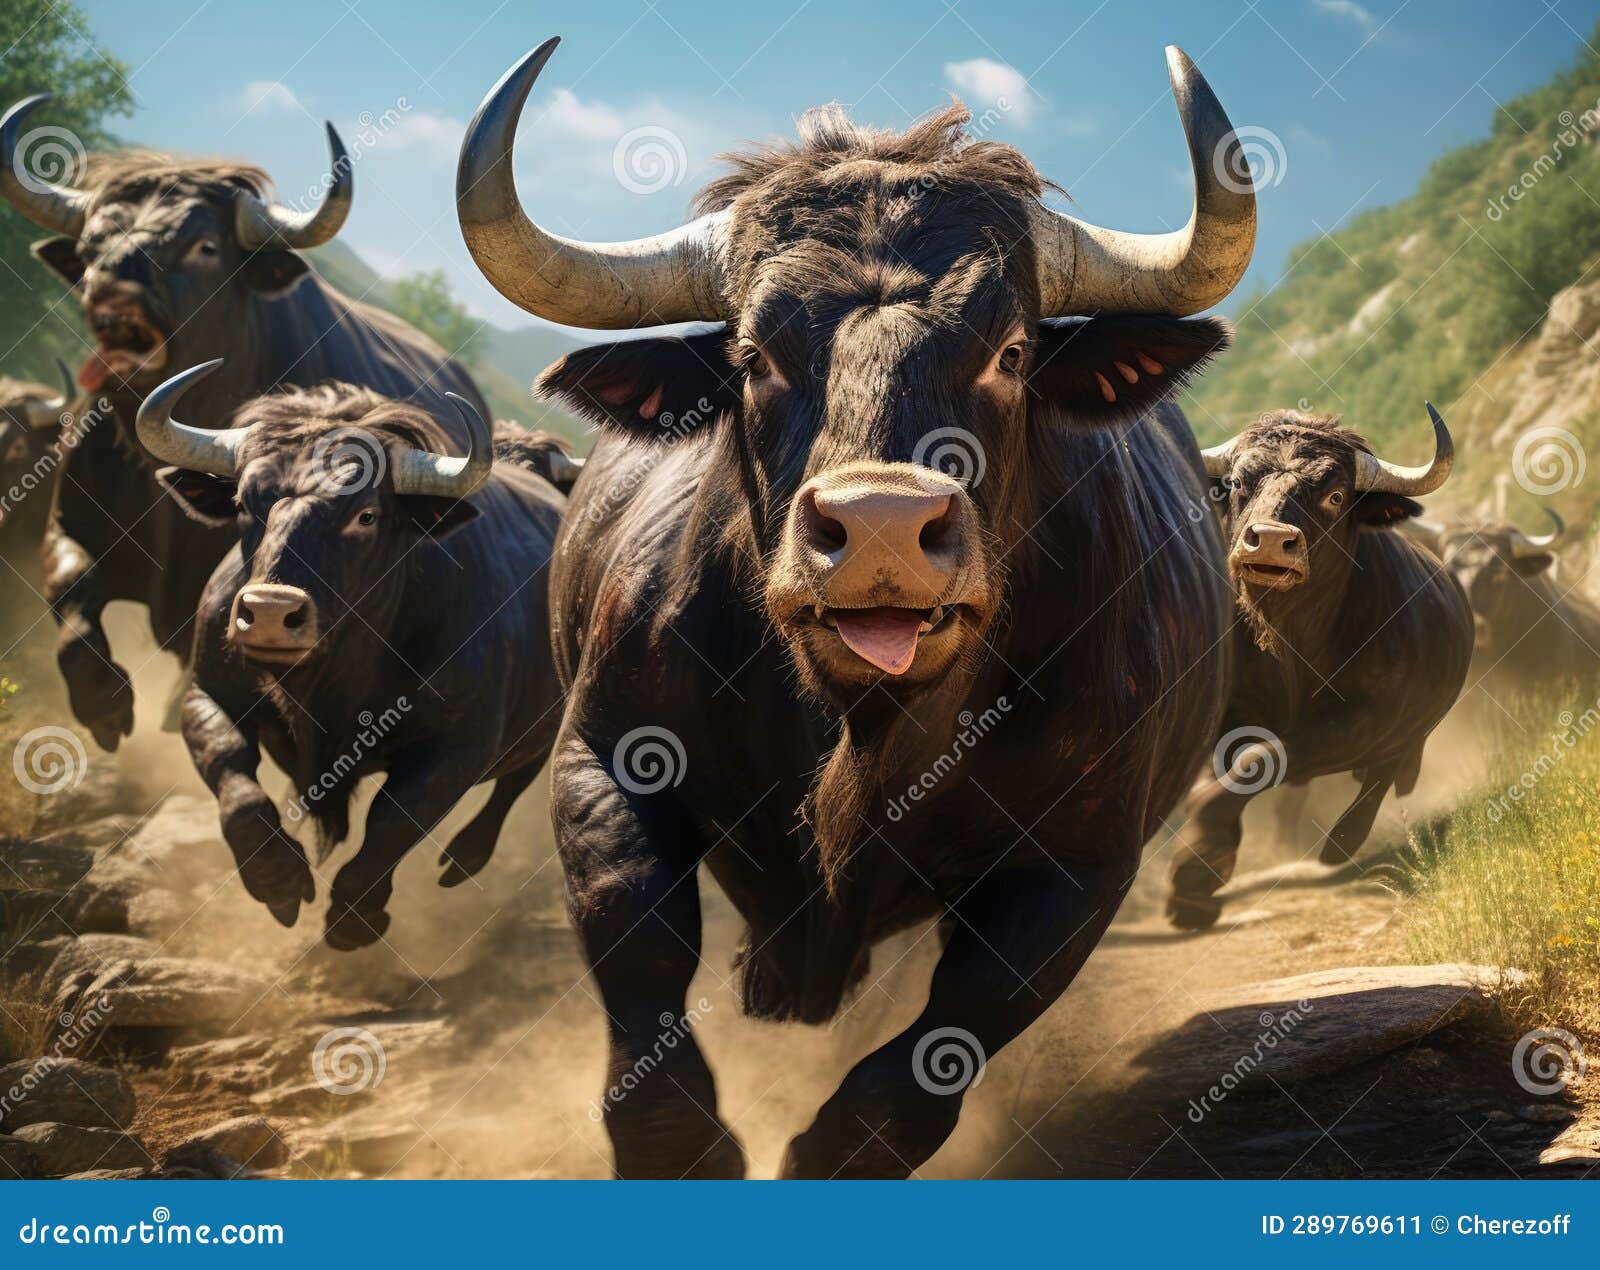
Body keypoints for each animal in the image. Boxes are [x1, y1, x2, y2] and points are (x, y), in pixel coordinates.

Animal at [0, 97, 486, 753]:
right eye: (92, 243)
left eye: (204, 246)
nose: (110, 291)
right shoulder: (69, 522)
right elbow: (71, 590)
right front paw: (104, 707)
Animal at [135, 363, 570, 947]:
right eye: (245, 504)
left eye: (365, 515)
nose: (270, 613)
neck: (331, 677)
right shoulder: (209, 692)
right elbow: (234, 780)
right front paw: (278, 881)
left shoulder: (457, 748)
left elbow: (392, 823)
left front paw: (355, 917)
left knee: (518, 781)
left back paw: (466, 856)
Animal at [454, 37, 1257, 1177]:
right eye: (754, 356)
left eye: (1011, 352)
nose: (880, 530)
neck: (860, 726)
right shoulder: (601, 761)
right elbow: (641, 976)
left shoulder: (1080, 864)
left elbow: (918, 1074)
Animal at [1165, 407, 1474, 930]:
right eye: (1238, 482)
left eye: (1335, 496)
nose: (1269, 543)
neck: (1292, 644)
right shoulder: (1223, 711)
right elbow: (1213, 781)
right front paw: (1200, 876)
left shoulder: (1362, 721)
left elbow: (1257, 762)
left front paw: (1192, 874)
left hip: (1413, 731)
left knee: (1379, 781)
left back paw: (1340, 846)